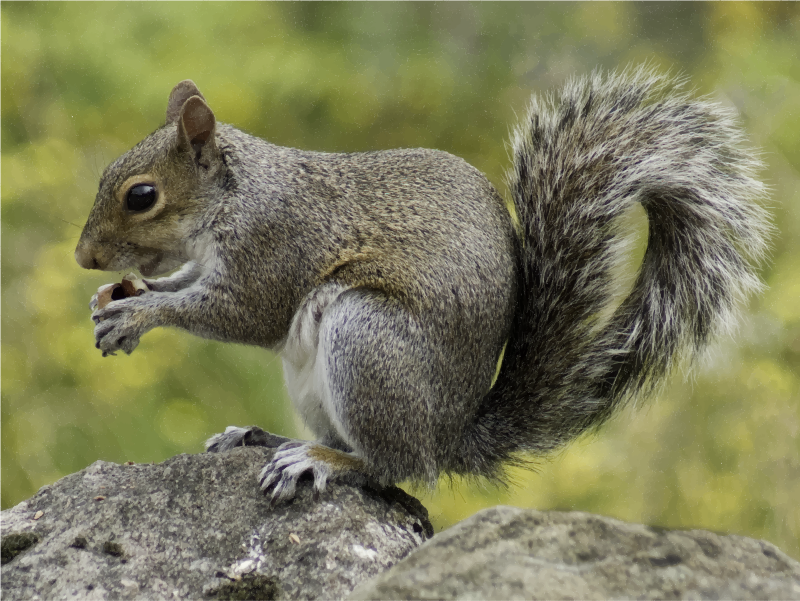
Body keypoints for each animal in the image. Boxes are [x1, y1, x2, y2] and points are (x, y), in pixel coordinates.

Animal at [75, 67, 770, 503]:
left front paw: (138, 315)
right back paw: (267, 438)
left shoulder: (275, 248)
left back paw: (319, 461)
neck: (236, 196)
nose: (84, 258)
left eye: (141, 196)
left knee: (392, 468)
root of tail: (448, 436)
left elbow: (241, 313)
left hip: (367, 340)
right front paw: (121, 297)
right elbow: (189, 282)